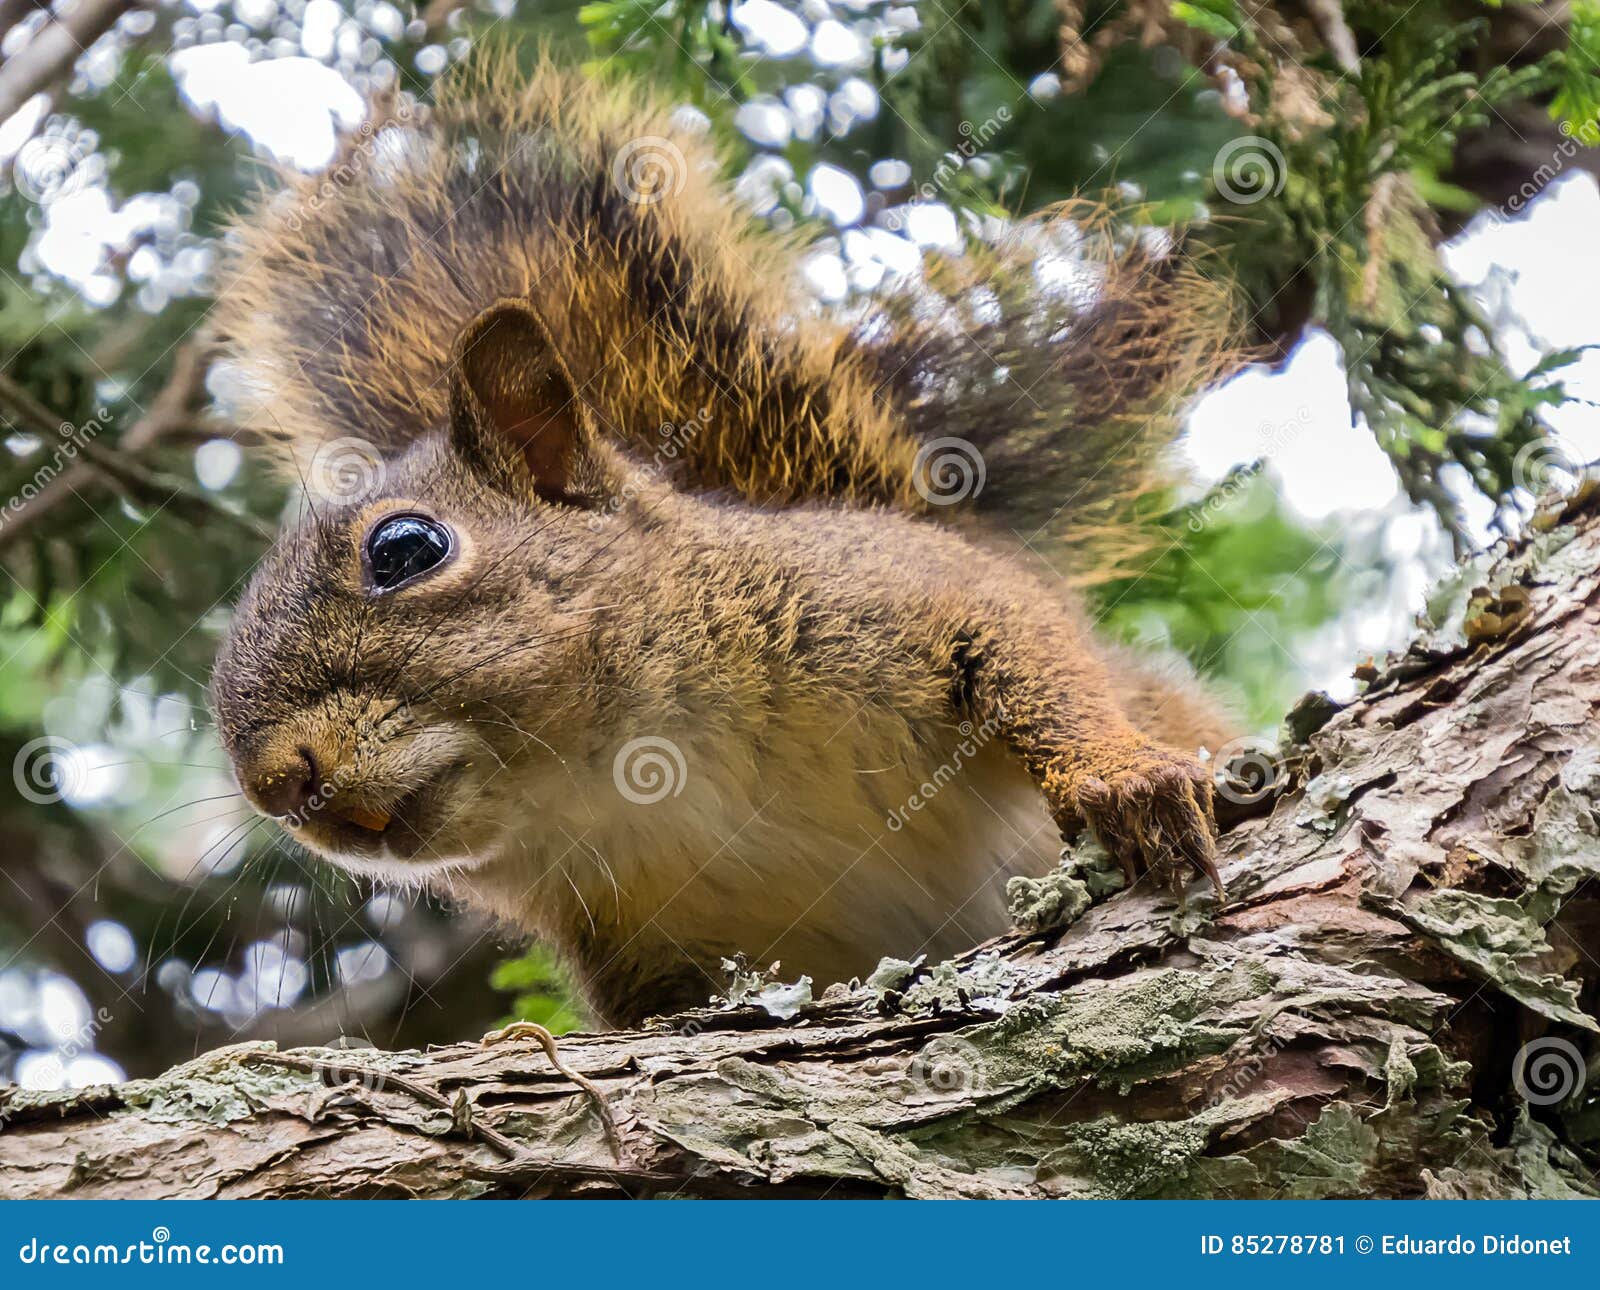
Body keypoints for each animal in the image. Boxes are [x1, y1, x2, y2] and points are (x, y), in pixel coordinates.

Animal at [209, 53, 1240, 1027]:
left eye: (406, 550)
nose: (276, 783)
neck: (636, 771)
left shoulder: (917, 593)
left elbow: (1036, 661)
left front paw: (1123, 781)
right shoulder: (634, 947)